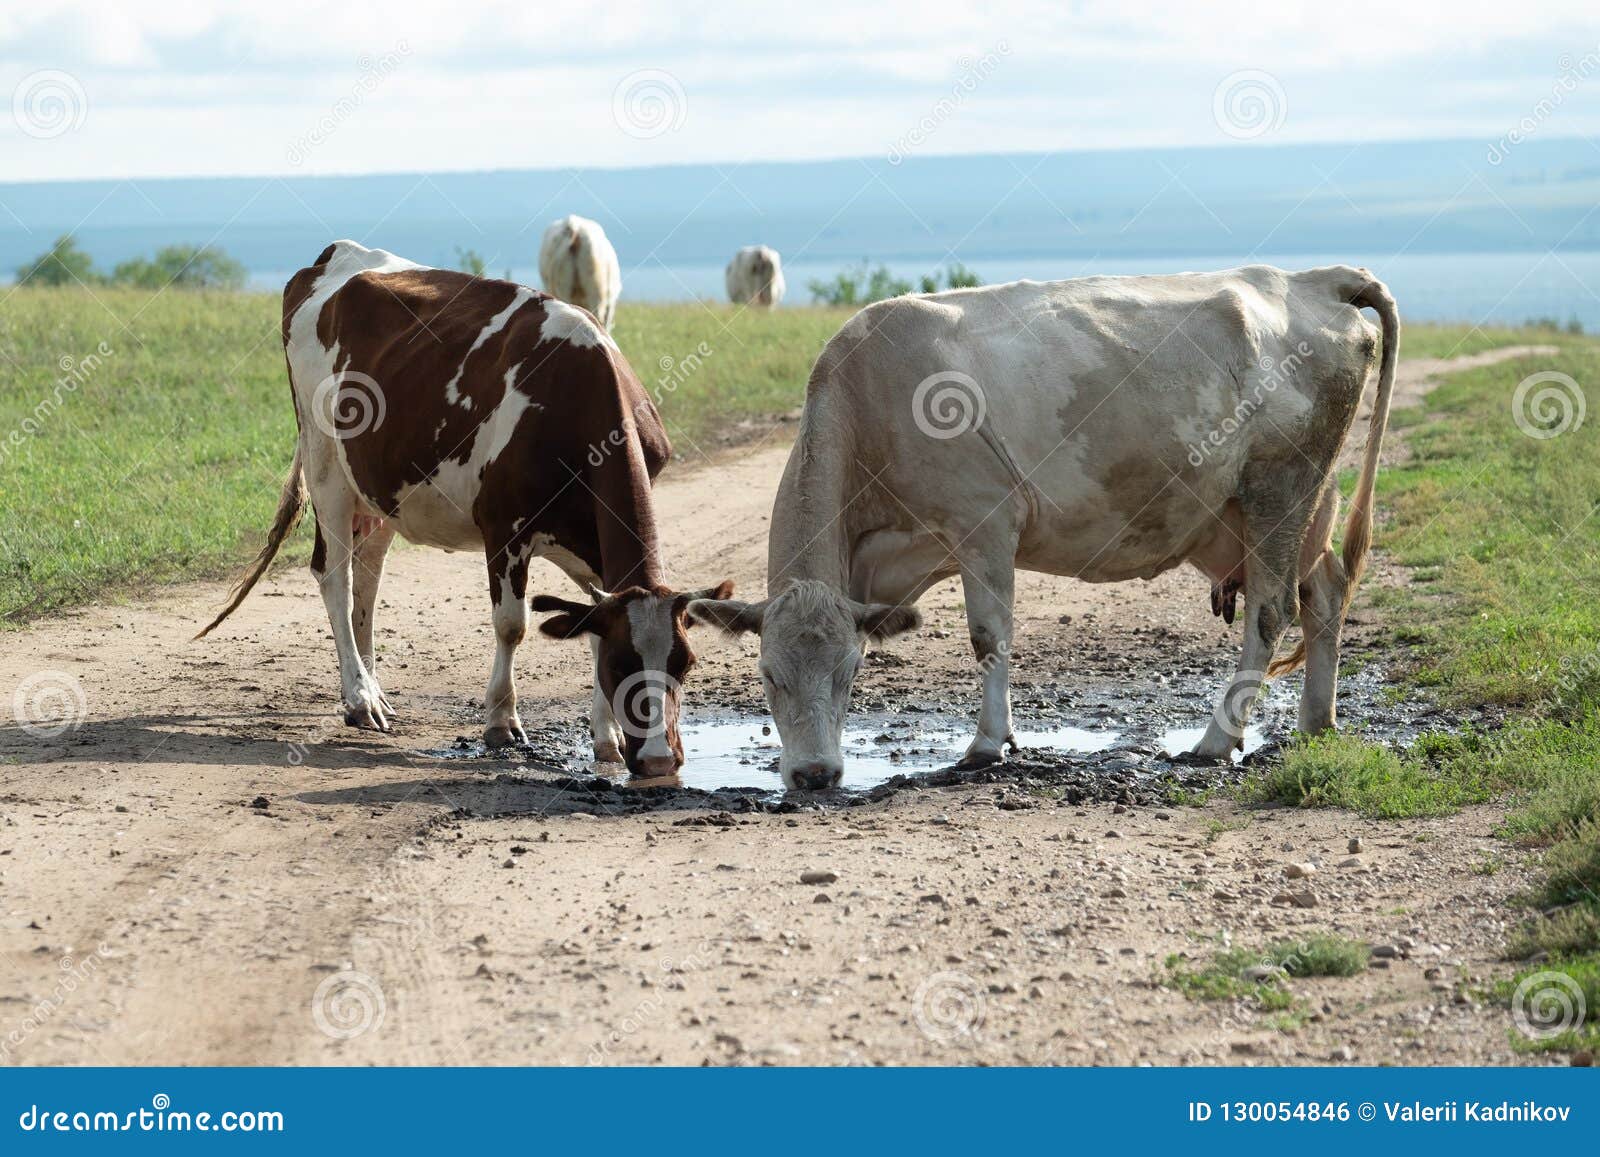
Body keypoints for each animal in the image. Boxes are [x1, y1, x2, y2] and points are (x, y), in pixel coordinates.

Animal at [196, 240, 734, 777]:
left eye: (685, 664)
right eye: (625, 666)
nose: (661, 761)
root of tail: (337, 252)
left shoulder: (592, 546)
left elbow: (594, 626)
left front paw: (607, 737)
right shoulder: (504, 527)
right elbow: (512, 625)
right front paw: (501, 722)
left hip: (381, 487)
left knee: (368, 577)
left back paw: (377, 690)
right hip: (325, 461)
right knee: (336, 577)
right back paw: (359, 699)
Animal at [688, 265, 1399, 790]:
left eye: (848, 674)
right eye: (768, 676)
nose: (813, 775)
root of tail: (1313, 278)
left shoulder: (983, 523)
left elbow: (988, 637)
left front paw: (987, 744)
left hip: (1280, 488)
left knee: (1270, 612)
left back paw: (1215, 740)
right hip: (1265, 512)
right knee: (1324, 592)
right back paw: (1315, 723)